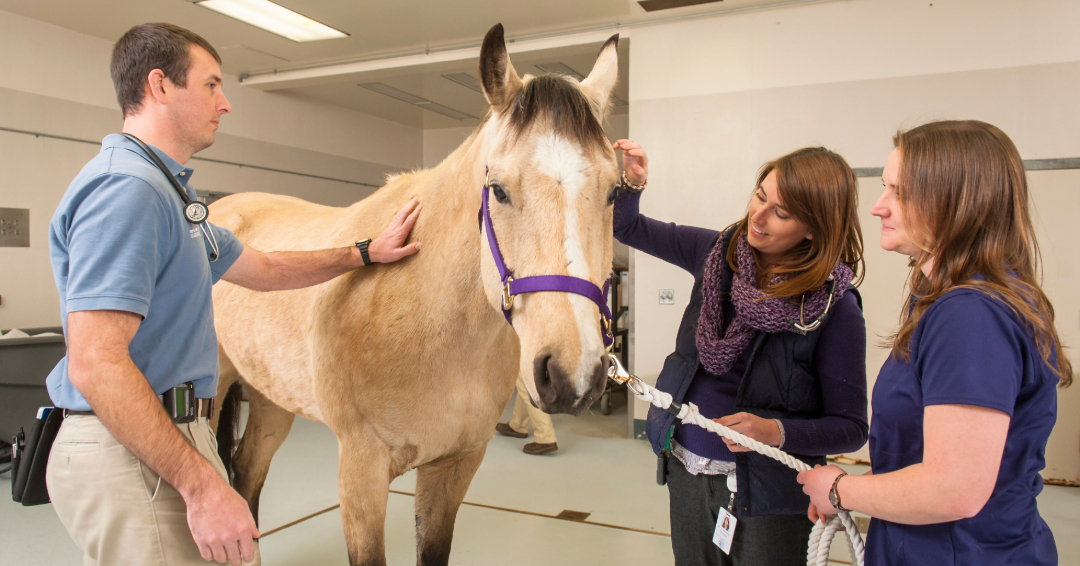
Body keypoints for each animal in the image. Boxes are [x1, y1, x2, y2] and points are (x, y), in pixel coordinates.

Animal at [208, 23, 623, 566]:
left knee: (246, 473)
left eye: (614, 192)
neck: (425, 320)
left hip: (270, 398)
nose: (572, 374)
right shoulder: (360, 474)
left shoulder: (454, 466)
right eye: (499, 190)